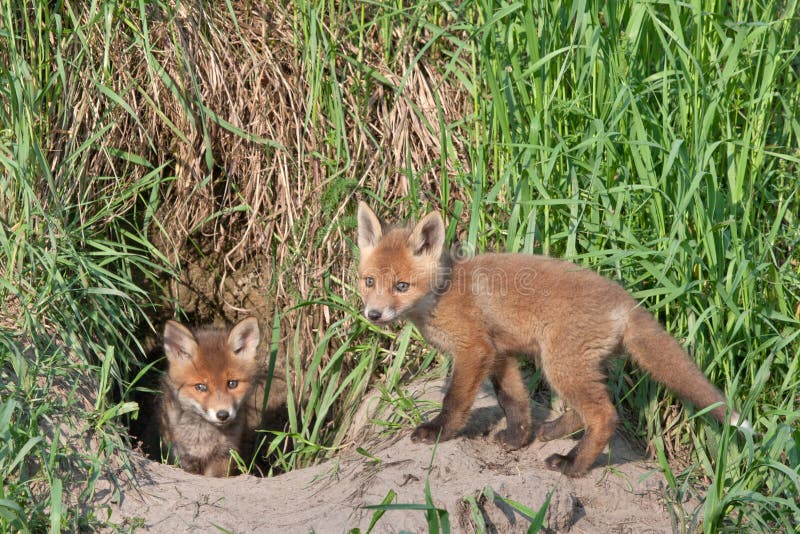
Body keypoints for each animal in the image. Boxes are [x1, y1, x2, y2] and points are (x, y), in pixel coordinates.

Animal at [159, 317, 265, 477]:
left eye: (232, 384)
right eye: (201, 387)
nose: (223, 415)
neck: (204, 437)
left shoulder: (224, 456)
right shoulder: (183, 457)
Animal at [356, 201, 748, 477]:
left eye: (402, 286)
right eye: (369, 281)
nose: (373, 315)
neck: (442, 294)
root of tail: (627, 302)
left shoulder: (474, 350)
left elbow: (455, 401)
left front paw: (438, 432)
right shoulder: (500, 353)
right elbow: (513, 400)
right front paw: (518, 438)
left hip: (559, 364)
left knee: (605, 416)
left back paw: (573, 466)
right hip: (574, 366)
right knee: (586, 410)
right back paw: (552, 432)